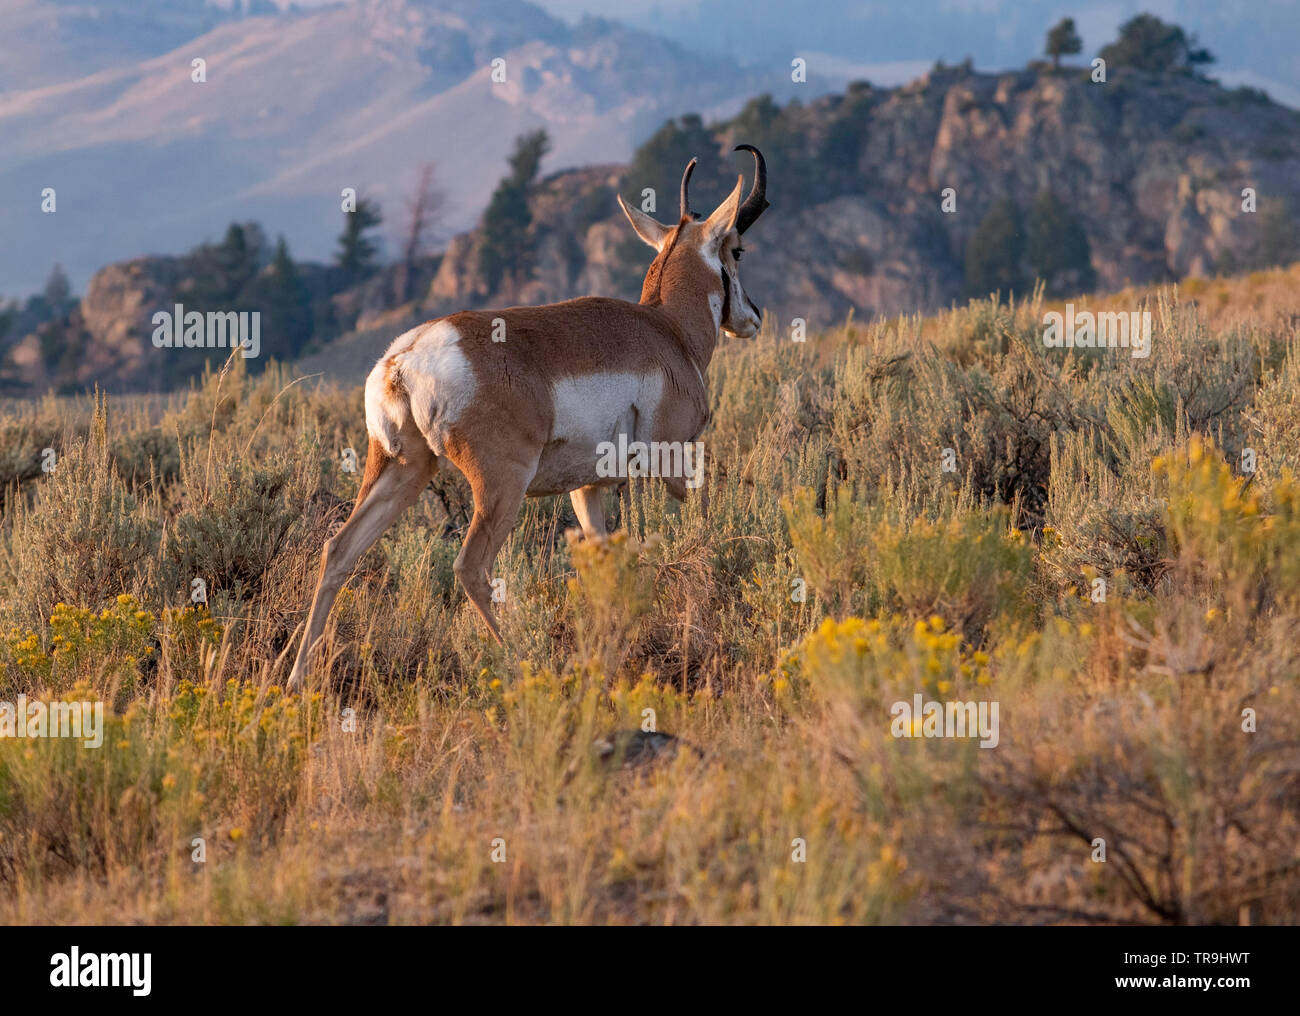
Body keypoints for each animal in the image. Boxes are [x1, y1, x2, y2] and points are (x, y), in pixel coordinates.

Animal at [286, 146, 770, 691]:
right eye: (737, 250)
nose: (754, 316)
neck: (665, 328)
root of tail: (406, 357)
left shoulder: (588, 489)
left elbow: (605, 562)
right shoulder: (671, 466)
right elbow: (698, 531)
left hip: (401, 471)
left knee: (339, 550)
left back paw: (296, 679)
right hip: (502, 486)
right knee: (470, 567)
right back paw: (527, 662)